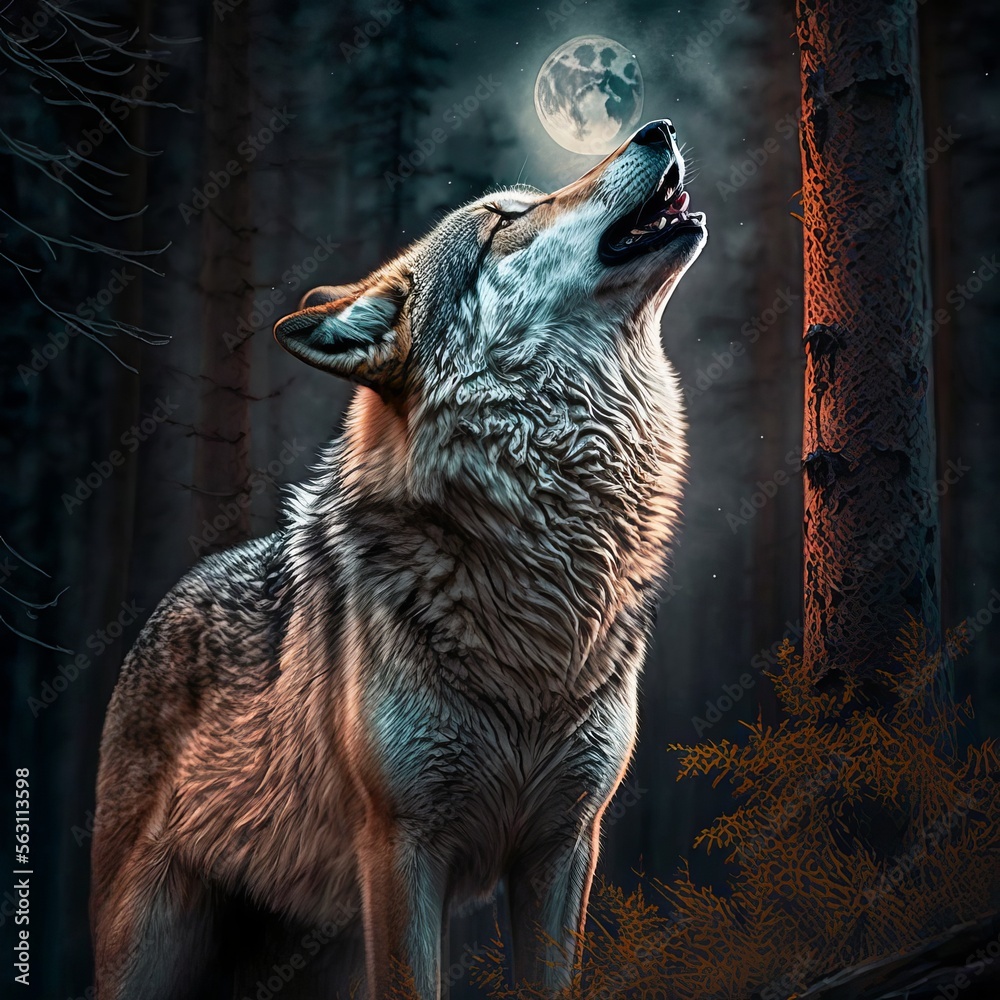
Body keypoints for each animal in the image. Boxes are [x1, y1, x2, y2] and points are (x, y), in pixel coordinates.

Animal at [91, 119, 706, 999]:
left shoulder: (563, 846)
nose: (659, 128)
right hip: (152, 948)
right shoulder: (406, 846)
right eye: (506, 220)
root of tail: (177, 591)